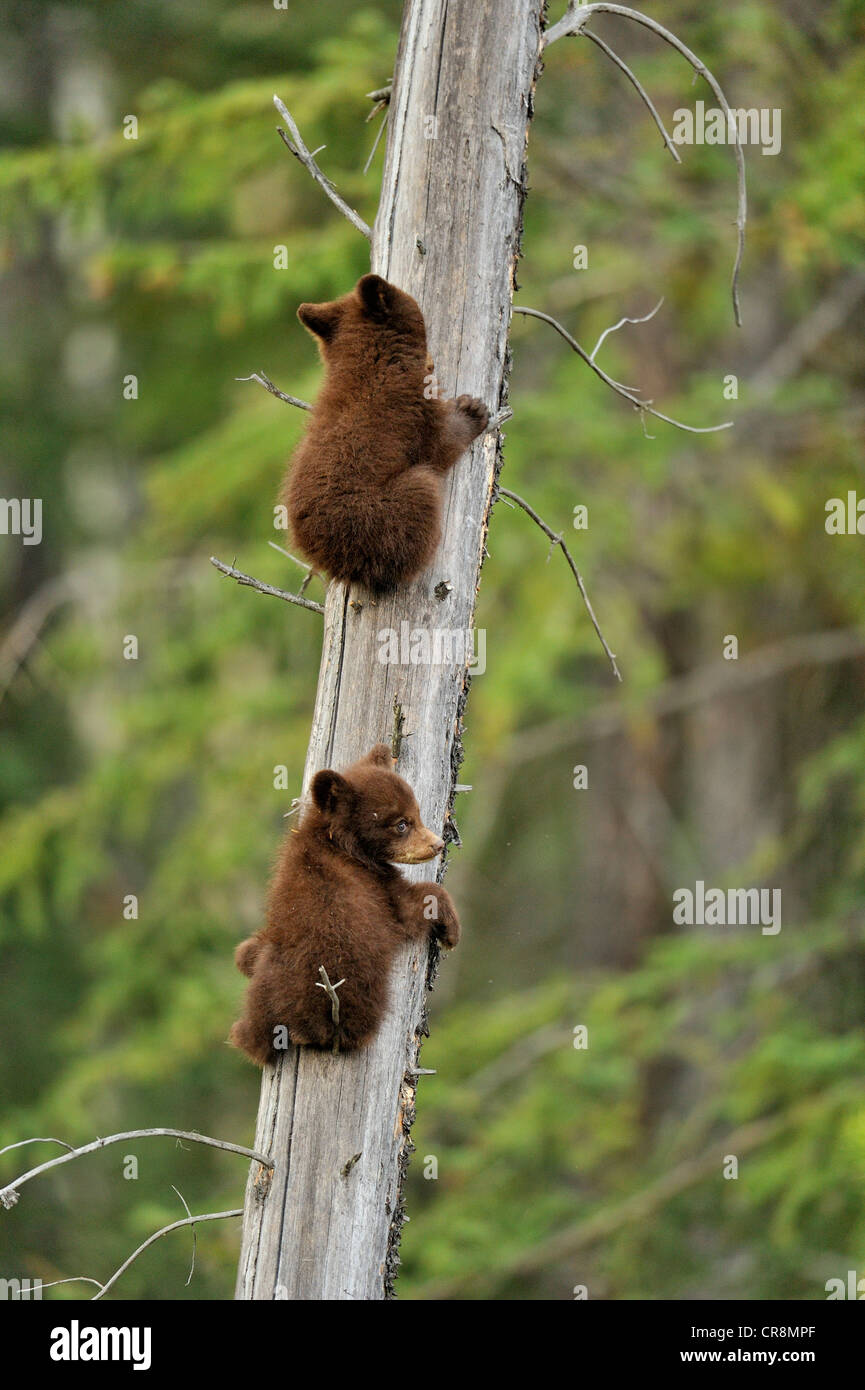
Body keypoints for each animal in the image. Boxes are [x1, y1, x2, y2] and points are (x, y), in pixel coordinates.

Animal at [229, 743, 460, 1064]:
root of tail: (317, 1025)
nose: (437, 844)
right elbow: (414, 904)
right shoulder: (373, 887)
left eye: (416, 813)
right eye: (401, 824)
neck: (339, 845)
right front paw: (451, 932)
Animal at [283, 273, 490, 593]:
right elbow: (437, 444)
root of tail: (325, 554)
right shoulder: (409, 405)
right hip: (376, 515)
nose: (432, 362)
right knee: (420, 493)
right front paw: (471, 410)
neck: (370, 359)